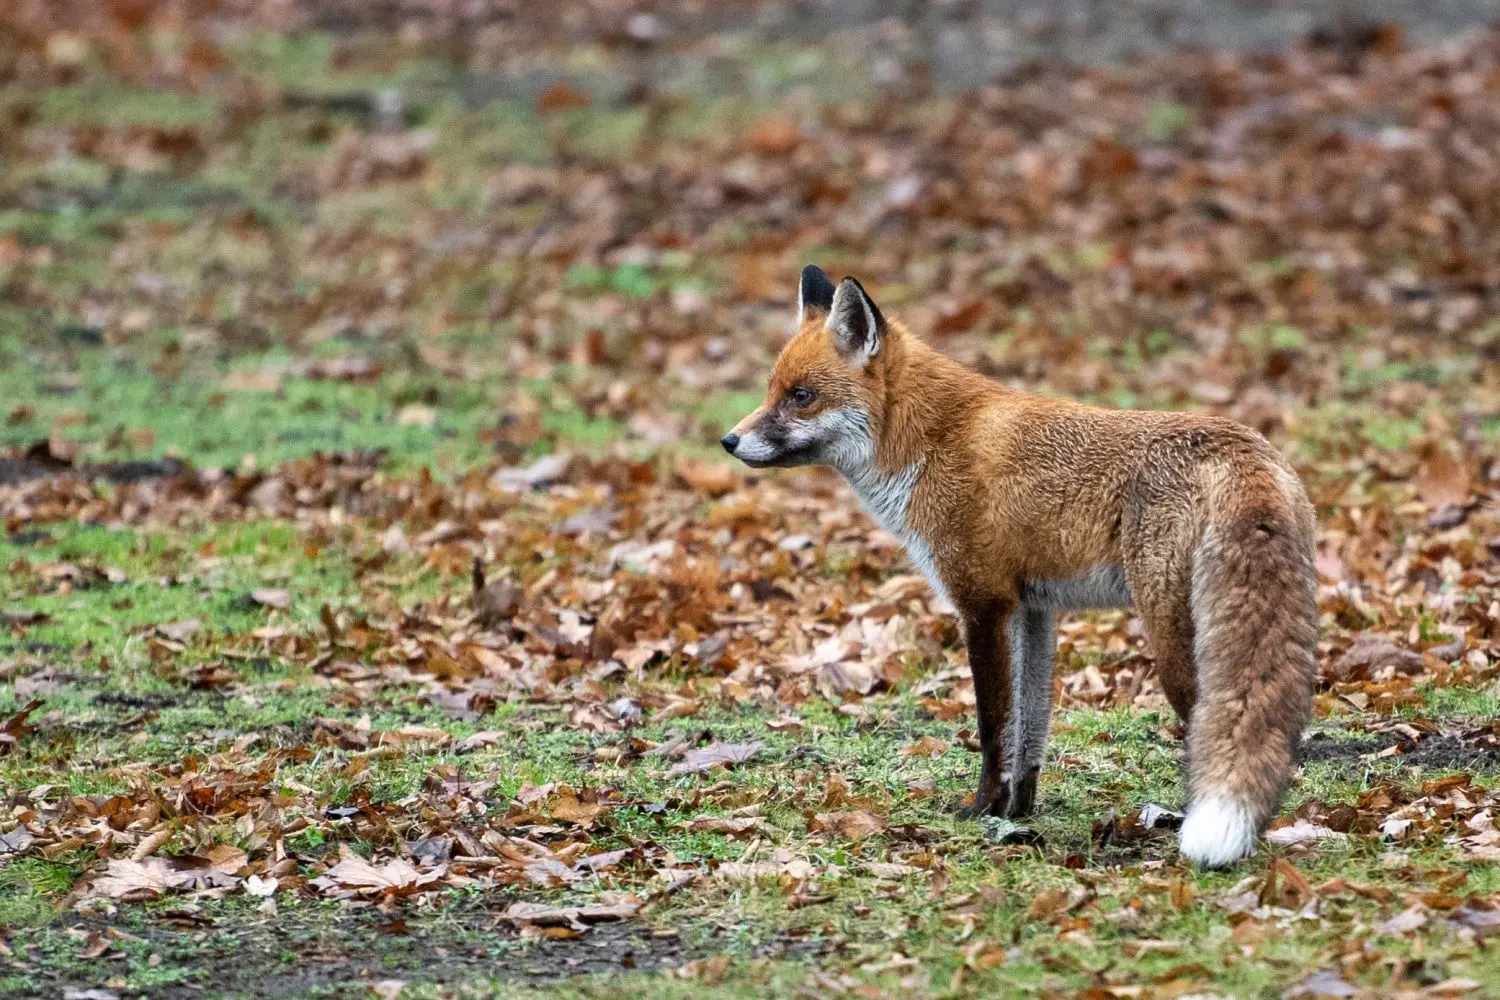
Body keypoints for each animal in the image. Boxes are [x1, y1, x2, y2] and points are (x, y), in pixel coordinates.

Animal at [722, 265, 1319, 867]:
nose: (729, 439)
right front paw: (1018, 814)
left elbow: (993, 727)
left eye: (801, 396)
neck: (931, 442)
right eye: (772, 391)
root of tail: (1246, 447)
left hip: (1174, 638)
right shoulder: (1034, 610)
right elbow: (1030, 732)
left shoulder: (983, 603)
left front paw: (981, 809)